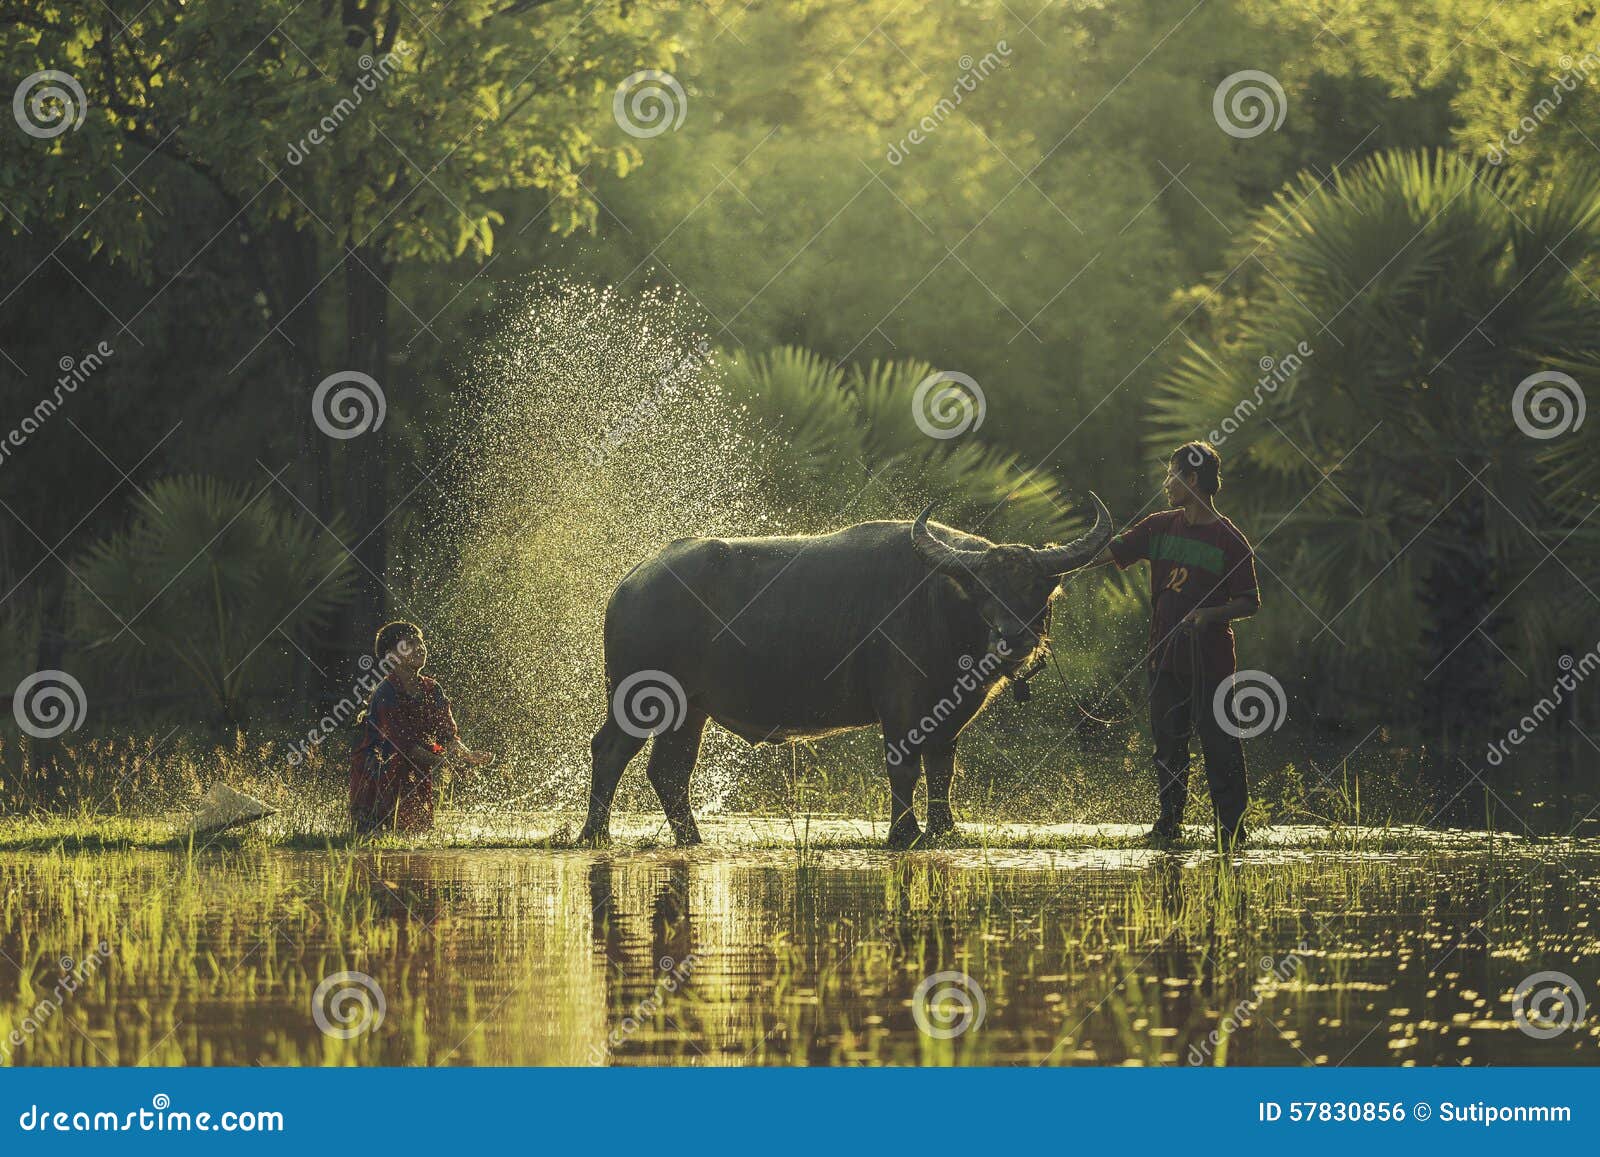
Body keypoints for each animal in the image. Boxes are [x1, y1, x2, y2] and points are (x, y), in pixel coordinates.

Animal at [577, 496, 1113, 848]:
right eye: (982, 590)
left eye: (1039, 589)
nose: (1013, 638)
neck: (939, 607)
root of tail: (631, 582)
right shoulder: (901, 707)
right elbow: (904, 767)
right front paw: (904, 833)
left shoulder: (950, 716)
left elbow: (942, 771)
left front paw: (945, 830)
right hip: (638, 698)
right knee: (611, 751)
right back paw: (594, 835)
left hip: (689, 711)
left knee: (670, 771)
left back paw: (692, 839)